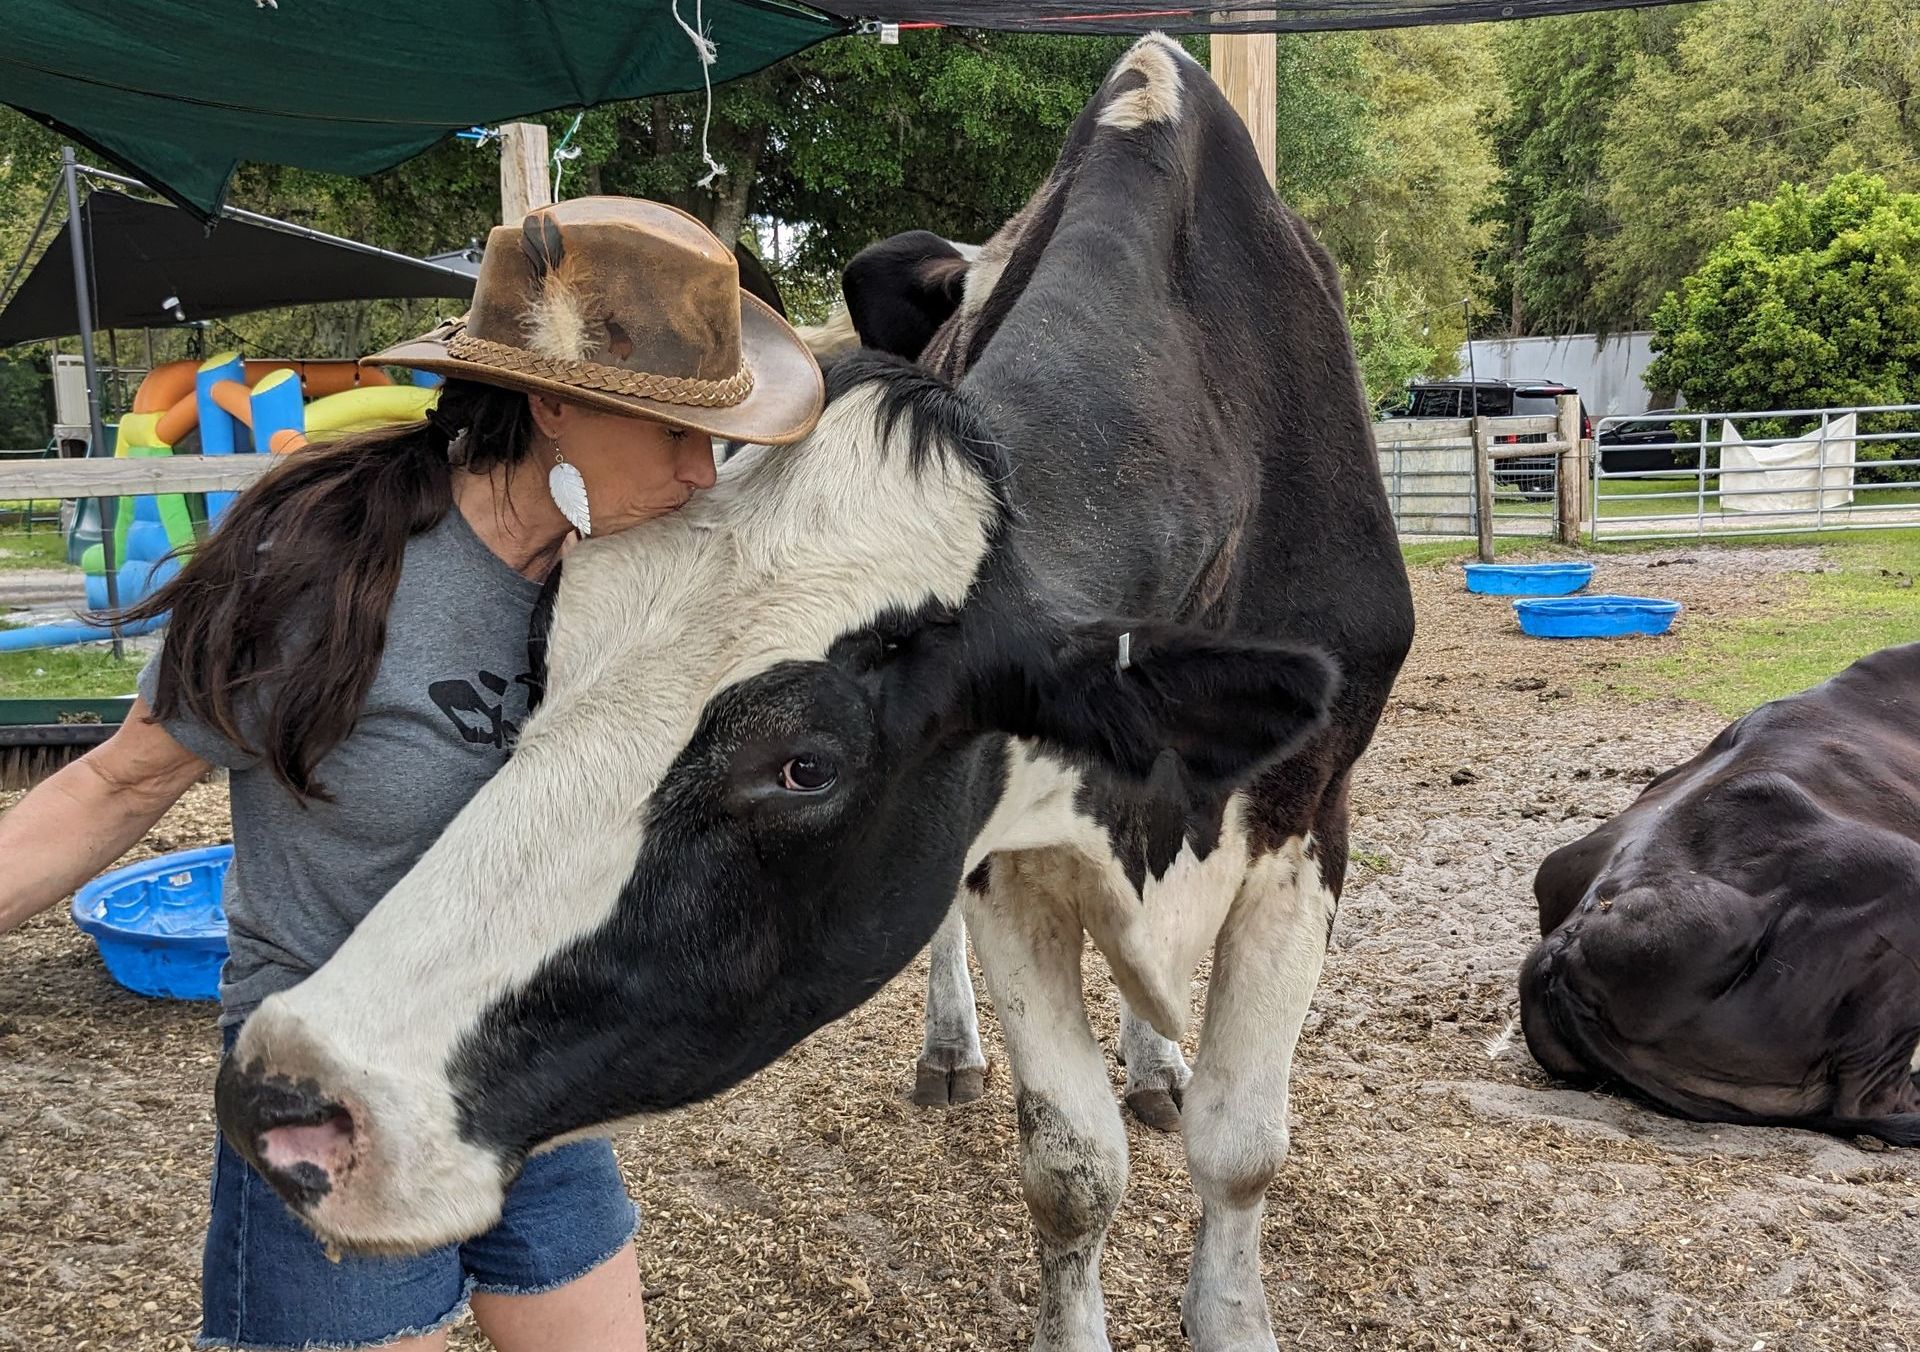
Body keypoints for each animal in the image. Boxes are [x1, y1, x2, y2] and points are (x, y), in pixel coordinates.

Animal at [214, 36, 1415, 1350]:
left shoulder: (1308, 823)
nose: (293, 1086)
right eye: (544, 664)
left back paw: (1155, 1060)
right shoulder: (997, 853)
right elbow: (1070, 1165)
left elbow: (1239, 1151)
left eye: (806, 763)